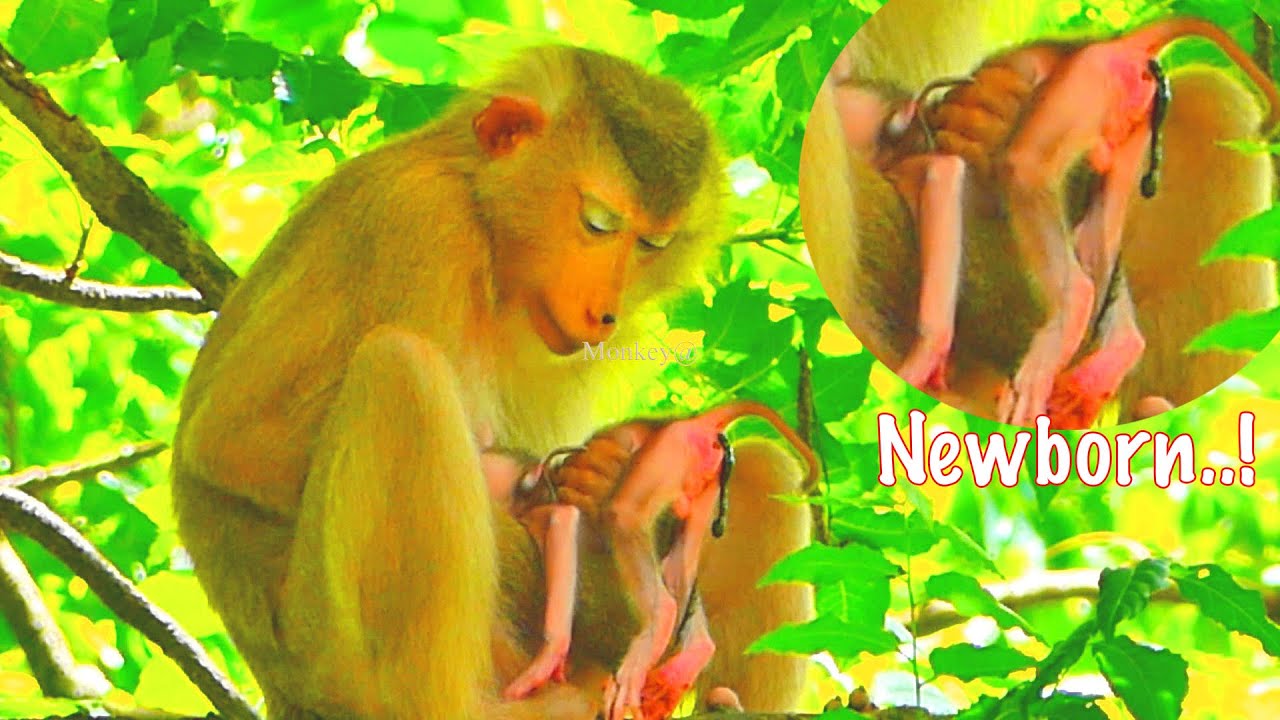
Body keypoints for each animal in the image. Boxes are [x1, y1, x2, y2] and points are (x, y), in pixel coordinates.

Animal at [171, 45, 813, 720]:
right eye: (598, 223)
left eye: (651, 243)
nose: (605, 312)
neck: (489, 236)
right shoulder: (416, 220)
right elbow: (236, 444)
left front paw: (605, 479)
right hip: (331, 660)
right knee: (401, 369)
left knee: (764, 469)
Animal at [802, 1, 1277, 427]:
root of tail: (1111, 43)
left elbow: (943, 173)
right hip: (1129, 120)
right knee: (1096, 229)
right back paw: (1111, 351)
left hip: (1088, 84)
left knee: (1029, 169)